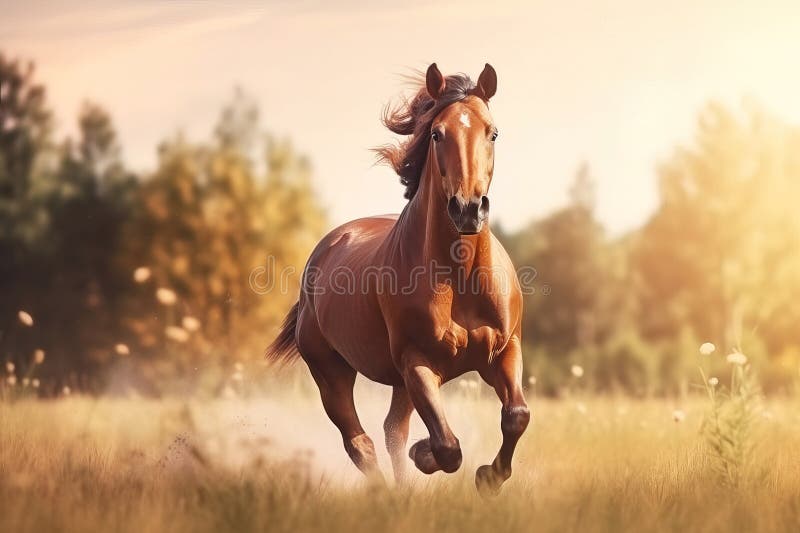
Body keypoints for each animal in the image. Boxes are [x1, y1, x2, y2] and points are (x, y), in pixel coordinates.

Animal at [266, 63, 529, 495]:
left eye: (492, 132)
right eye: (437, 133)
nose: (468, 209)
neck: (460, 280)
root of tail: (327, 247)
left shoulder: (504, 351)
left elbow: (517, 416)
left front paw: (489, 477)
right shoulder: (417, 364)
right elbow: (446, 446)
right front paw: (426, 456)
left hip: (397, 382)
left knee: (391, 430)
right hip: (331, 372)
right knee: (361, 441)